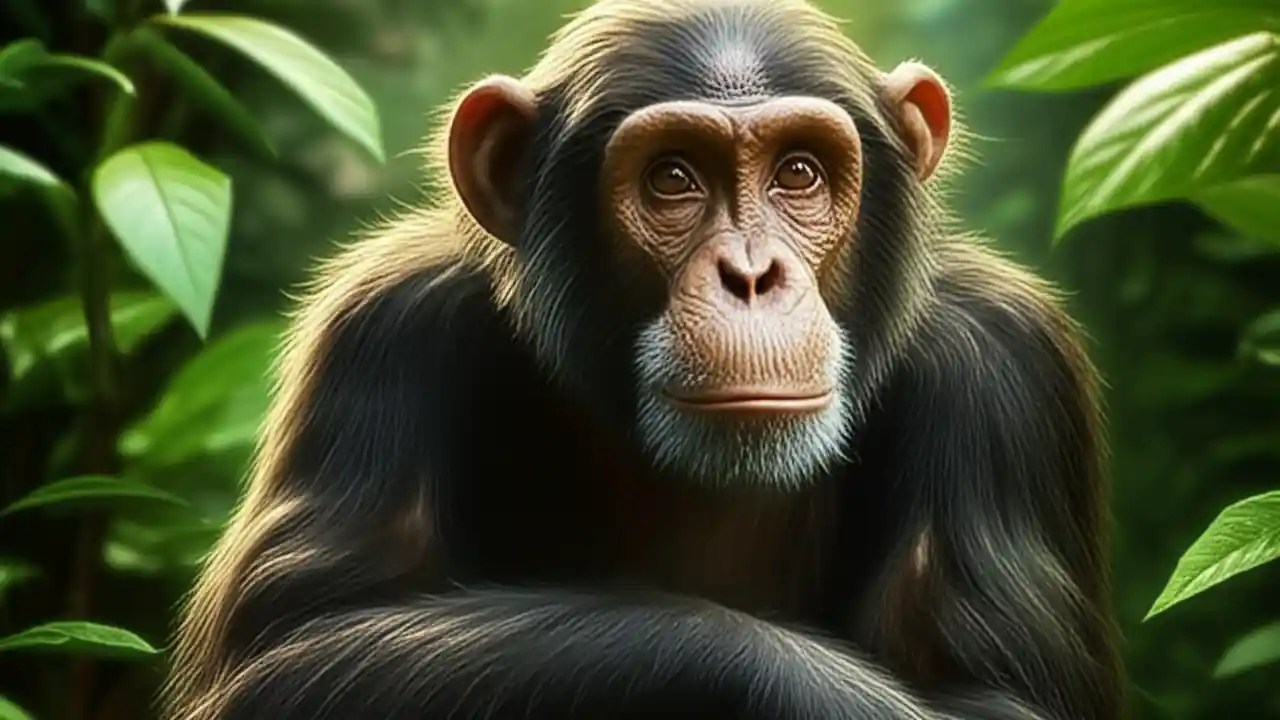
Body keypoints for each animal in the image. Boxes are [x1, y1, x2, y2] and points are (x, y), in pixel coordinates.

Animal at [164, 1, 1123, 718]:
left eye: (800, 173)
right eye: (672, 178)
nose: (750, 275)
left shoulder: (1002, 365)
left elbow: (995, 704)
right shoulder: (381, 333)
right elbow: (291, 653)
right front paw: (794, 679)